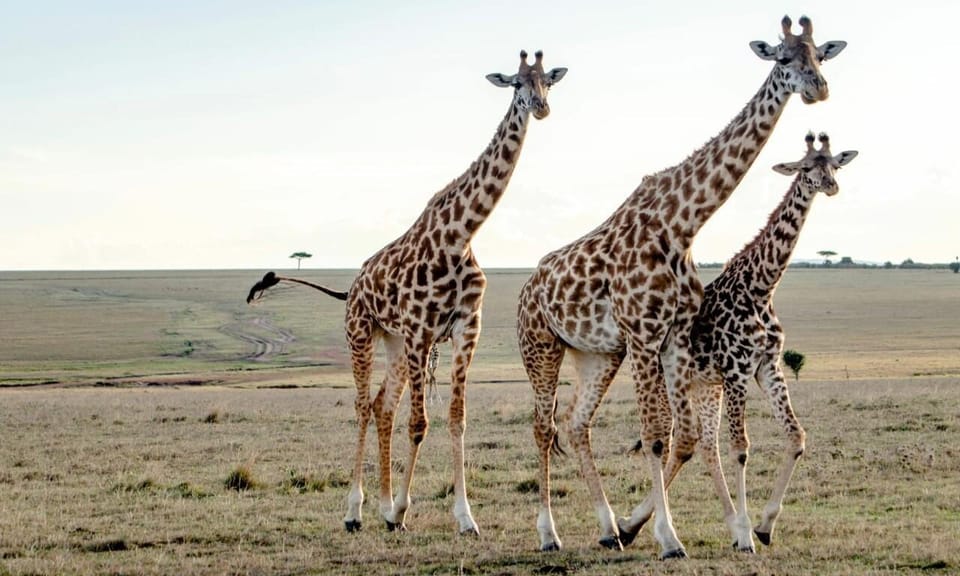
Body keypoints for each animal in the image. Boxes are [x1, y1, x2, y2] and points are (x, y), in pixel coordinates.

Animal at [249, 51, 566, 536]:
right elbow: (419, 423)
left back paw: (379, 506)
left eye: (548, 80)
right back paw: (355, 510)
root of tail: (352, 286)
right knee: (363, 406)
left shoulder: (464, 330)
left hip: (394, 344)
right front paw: (402, 510)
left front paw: (464, 518)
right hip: (362, 334)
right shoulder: (421, 331)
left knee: (383, 406)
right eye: (515, 82)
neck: (461, 235)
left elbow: (456, 421)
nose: (541, 107)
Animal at [516, 16, 845, 558]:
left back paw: (608, 528)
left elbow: (682, 437)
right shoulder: (646, 337)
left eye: (820, 53)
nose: (818, 89)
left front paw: (655, 527)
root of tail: (527, 287)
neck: (682, 223)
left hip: (597, 355)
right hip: (541, 347)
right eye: (782, 57)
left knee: (578, 424)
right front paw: (670, 539)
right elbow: (656, 435)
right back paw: (548, 533)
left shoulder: (674, 340)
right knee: (544, 428)